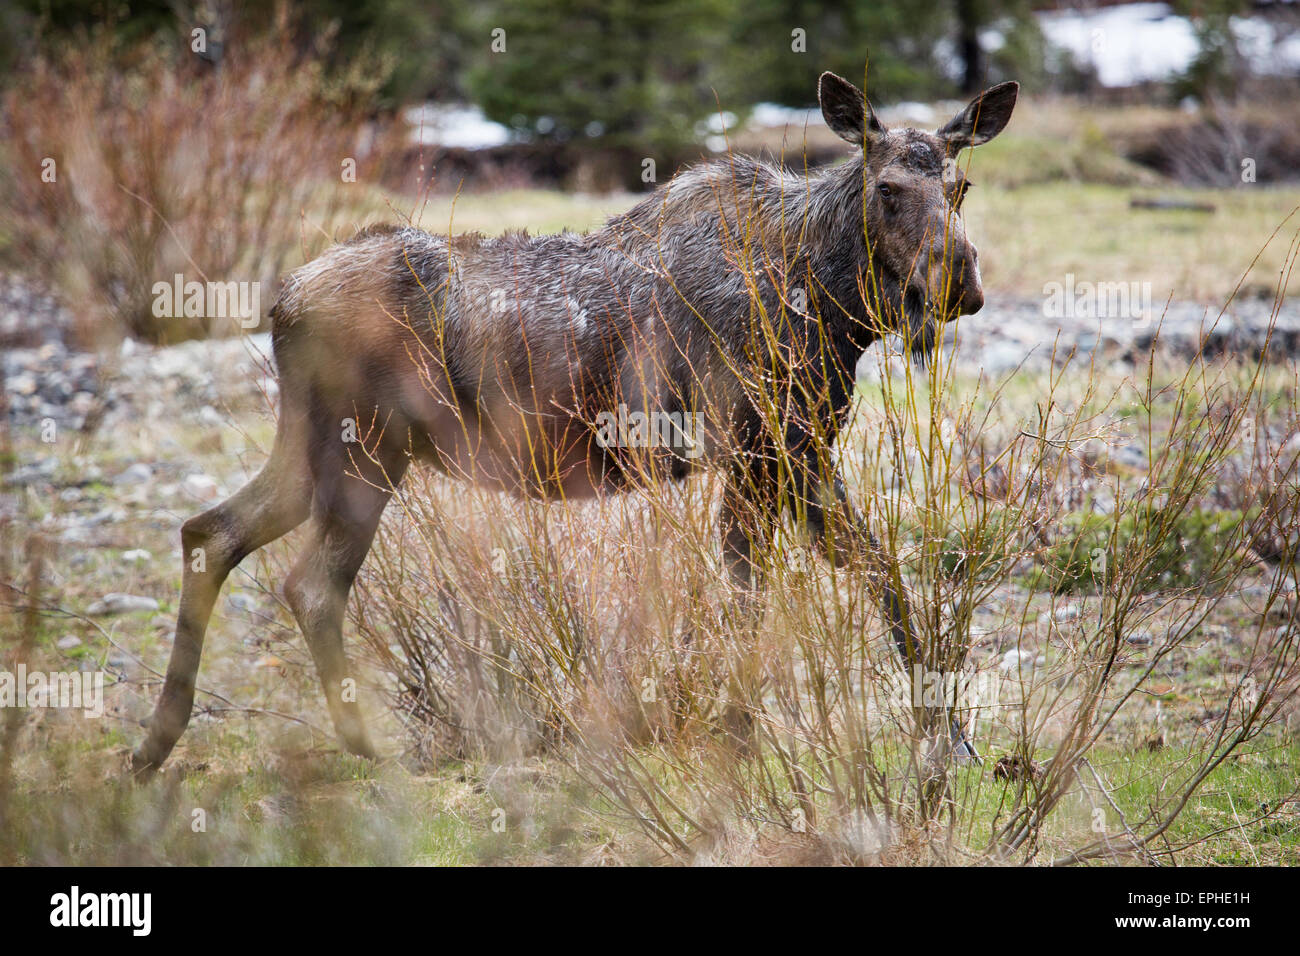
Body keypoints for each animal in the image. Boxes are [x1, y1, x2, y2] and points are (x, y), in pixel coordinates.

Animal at [130, 71, 1018, 777]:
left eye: (962, 189)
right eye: (888, 190)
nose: (959, 283)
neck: (831, 301)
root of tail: (280, 301)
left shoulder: (799, 454)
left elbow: (881, 575)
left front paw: (951, 742)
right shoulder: (751, 449)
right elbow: (749, 599)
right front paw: (739, 738)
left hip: (313, 448)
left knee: (209, 532)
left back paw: (154, 745)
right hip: (368, 454)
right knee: (309, 584)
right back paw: (363, 747)